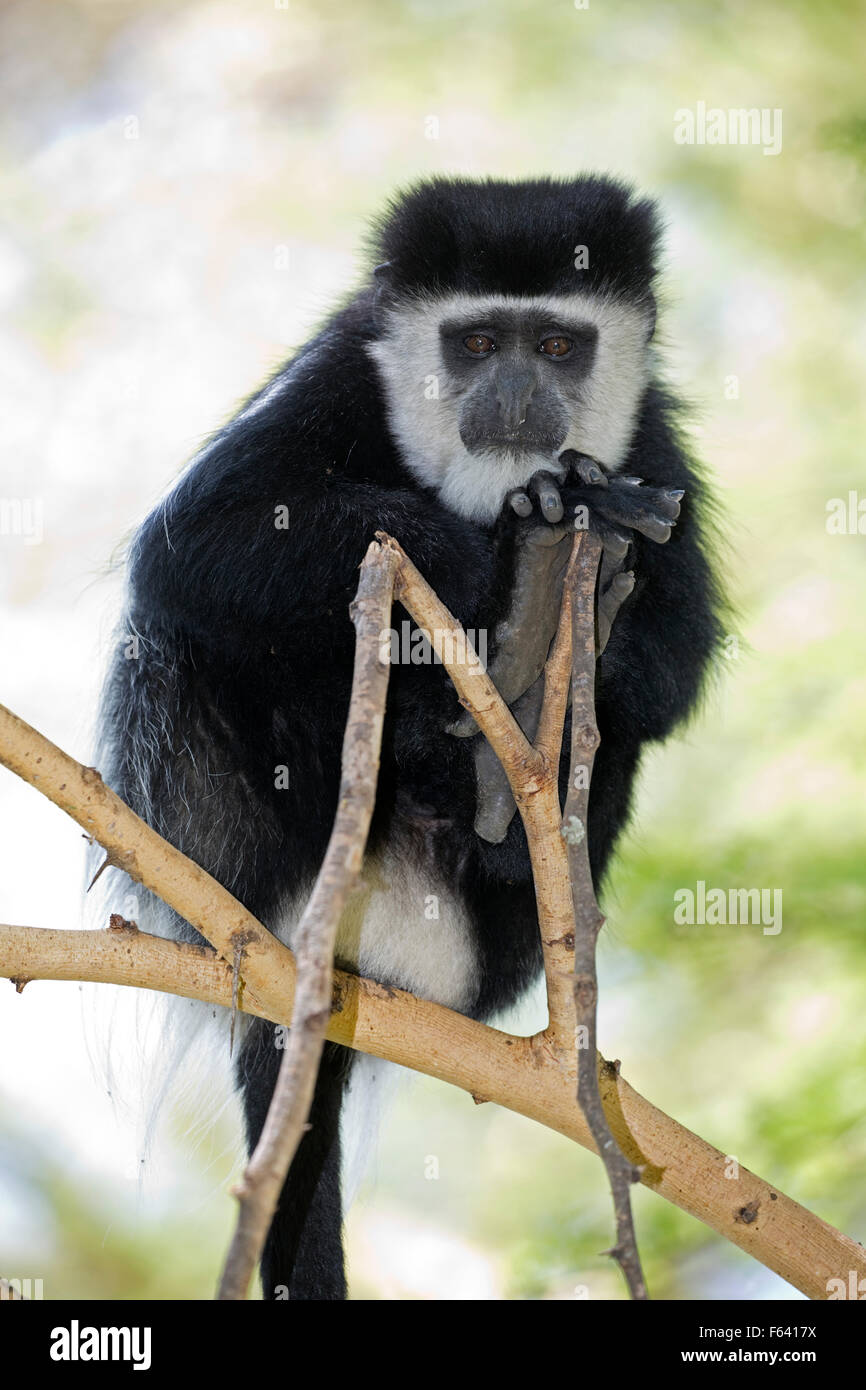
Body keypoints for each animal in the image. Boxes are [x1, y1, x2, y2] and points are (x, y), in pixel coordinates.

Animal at [97, 175, 723, 1300]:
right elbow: (199, 542)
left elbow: (671, 667)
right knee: (195, 629)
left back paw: (510, 762)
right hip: (213, 828)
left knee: (603, 742)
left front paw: (566, 565)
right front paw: (490, 548)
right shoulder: (341, 371)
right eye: (474, 342)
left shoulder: (649, 452)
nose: (514, 393)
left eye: (556, 345)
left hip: (489, 950)